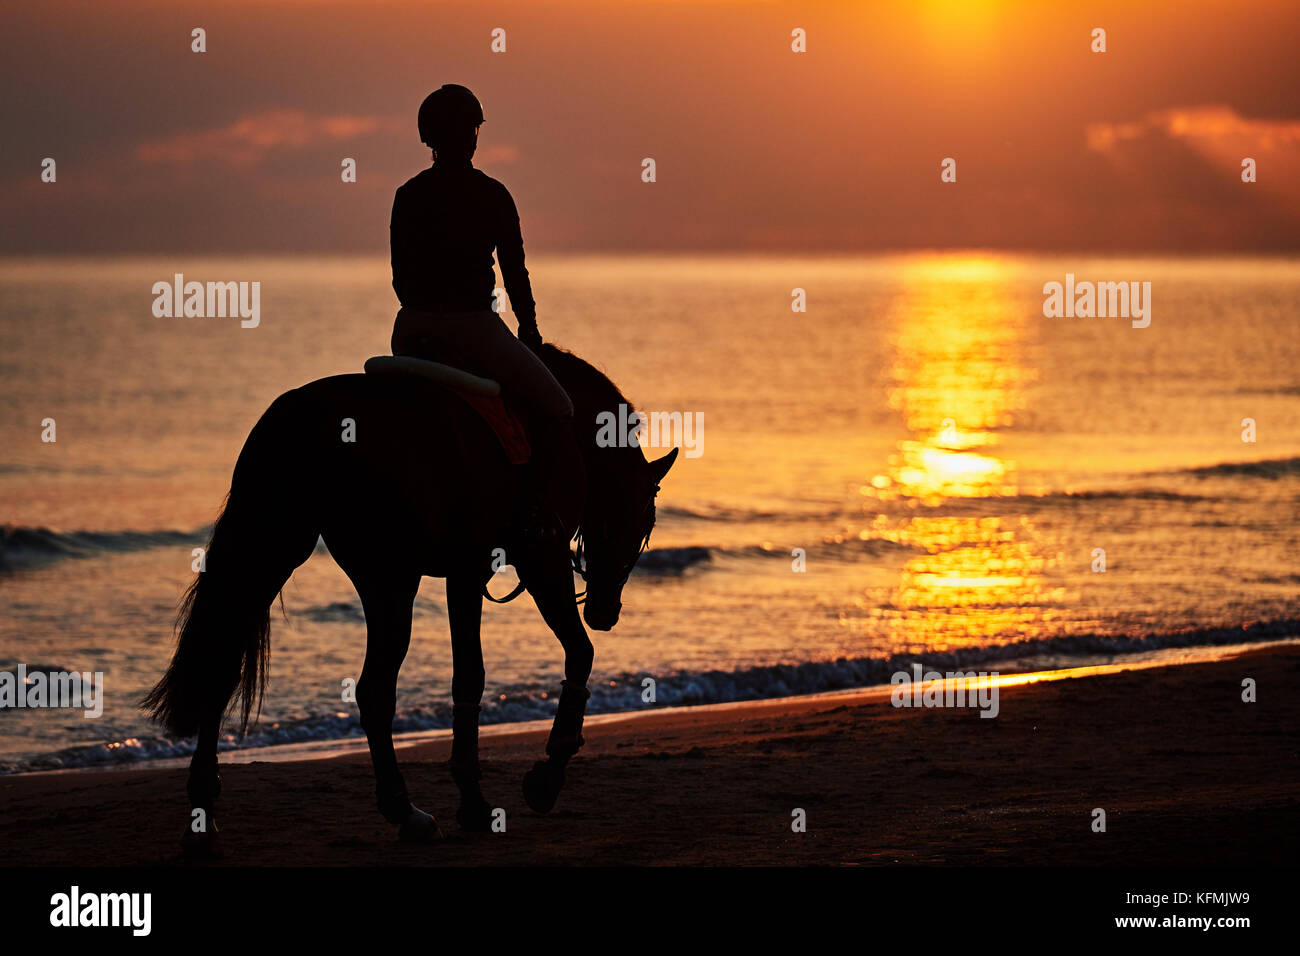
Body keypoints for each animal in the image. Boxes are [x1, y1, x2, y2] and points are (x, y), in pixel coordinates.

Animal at [142, 343, 678, 849]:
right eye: (644, 521)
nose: (606, 610)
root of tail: (298, 414)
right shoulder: (532, 560)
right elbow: (566, 657)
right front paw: (538, 781)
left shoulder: (468, 574)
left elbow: (473, 676)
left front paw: (481, 798)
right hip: (387, 576)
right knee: (372, 687)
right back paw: (406, 811)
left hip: (284, 554)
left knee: (229, 665)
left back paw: (206, 818)